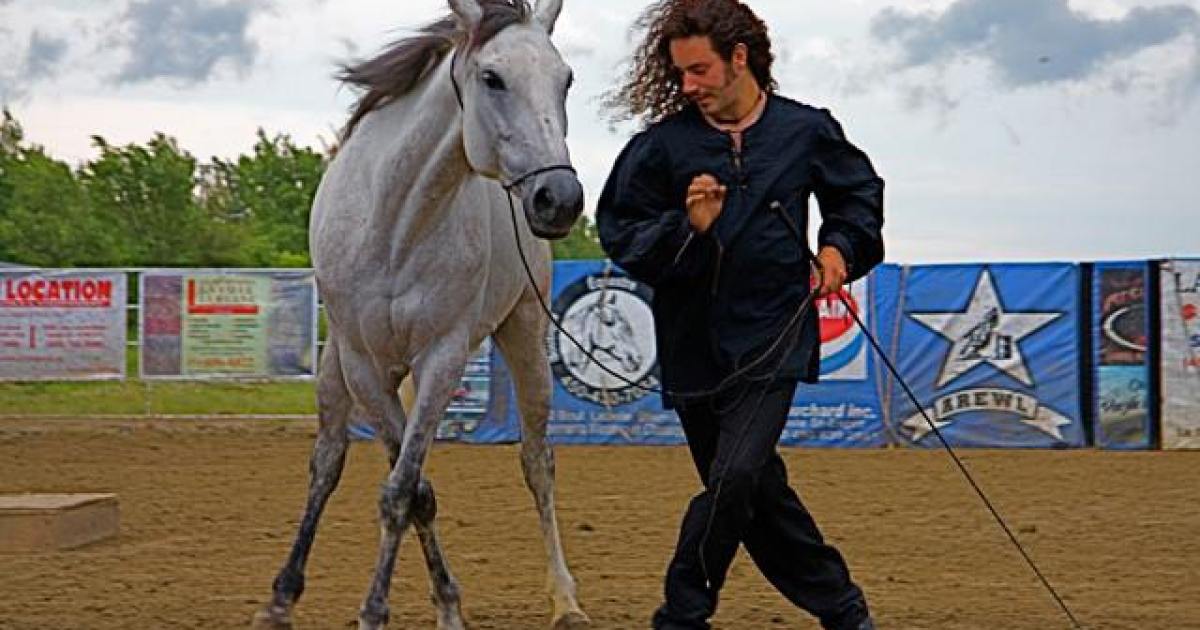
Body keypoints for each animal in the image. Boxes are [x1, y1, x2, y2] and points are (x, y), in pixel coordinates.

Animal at [253, 1, 588, 628]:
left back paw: (565, 599)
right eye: (492, 78)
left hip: (525, 335)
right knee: (326, 462)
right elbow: (409, 488)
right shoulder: (363, 364)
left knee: (538, 462)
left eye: (566, 81)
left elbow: (402, 491)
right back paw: (281, 596)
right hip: (340, 369)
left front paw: (386, 610)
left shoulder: (443, 358)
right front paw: (436, 602)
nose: (560, 199)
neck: (396, 222)